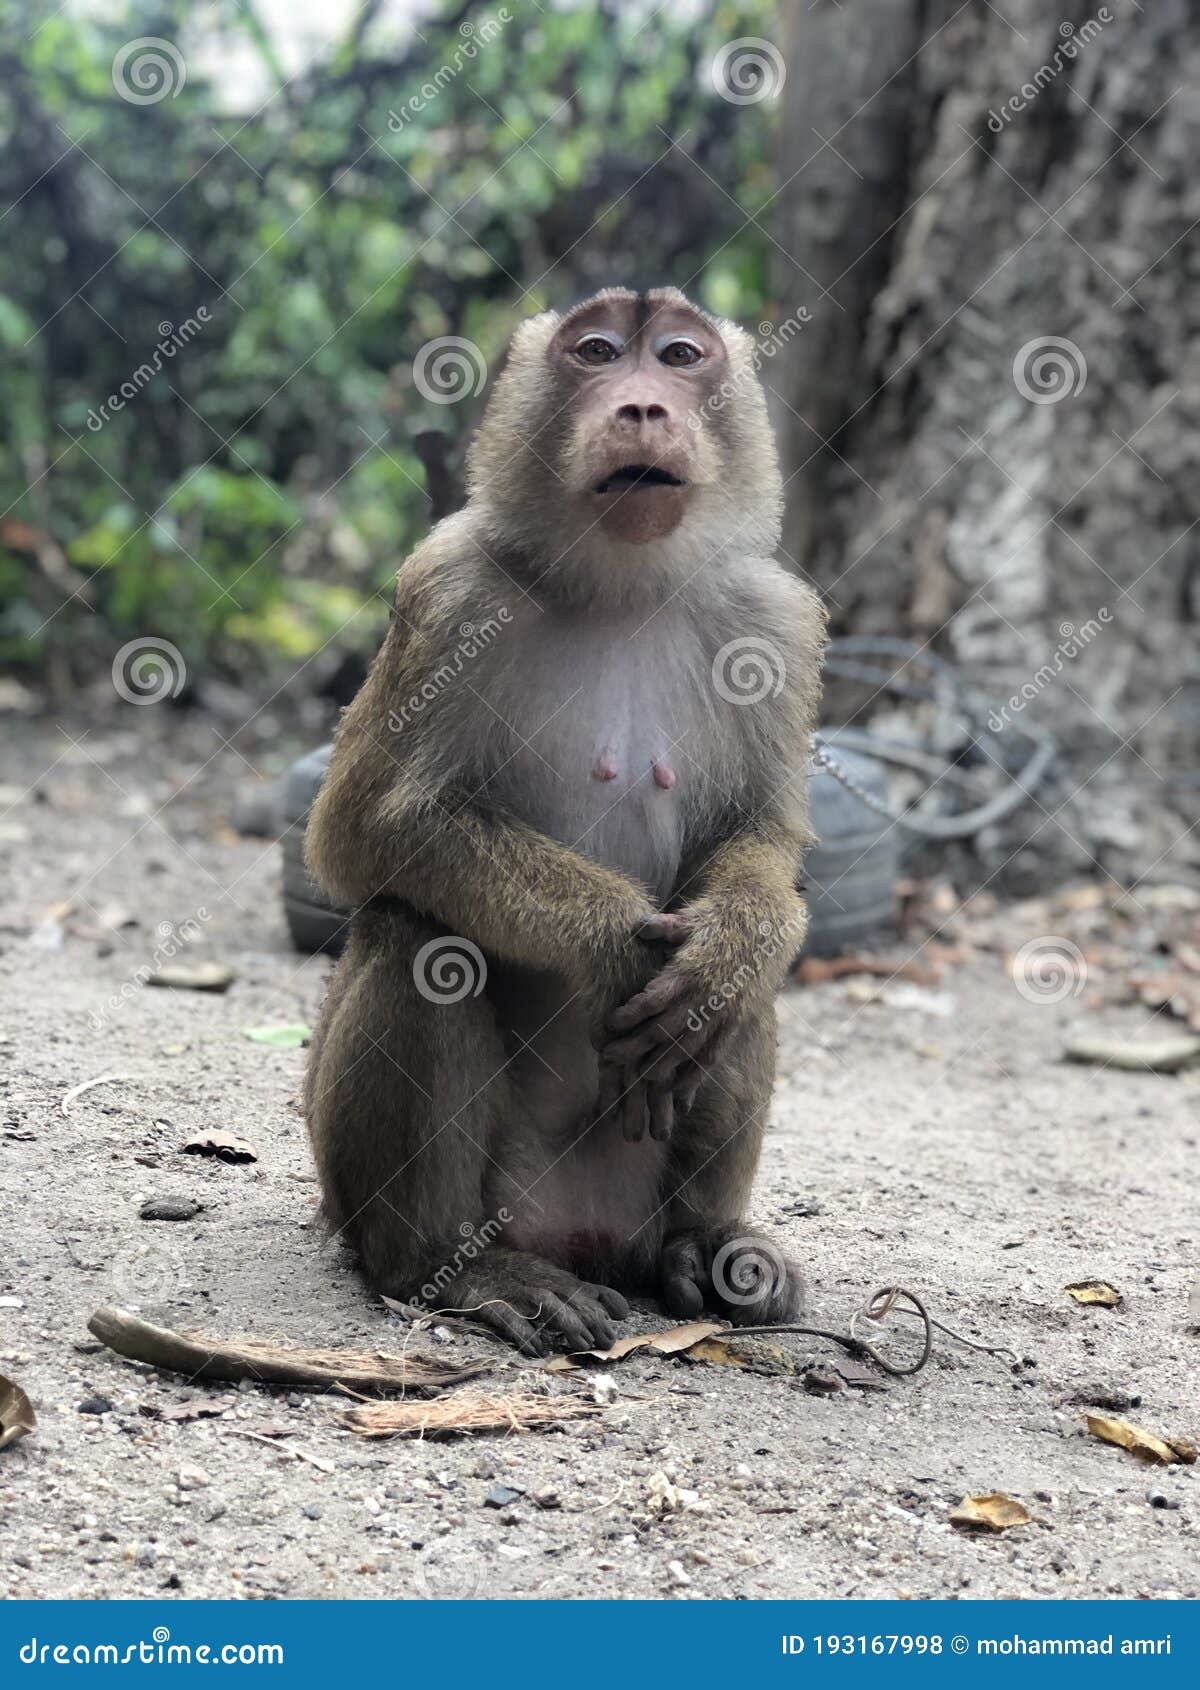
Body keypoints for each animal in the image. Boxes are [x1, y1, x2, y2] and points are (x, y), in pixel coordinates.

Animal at [303, 287, 826, 1357]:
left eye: (679, 357)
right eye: (596, 353)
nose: (641, 405)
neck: (621, 589)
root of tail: (585, 1234)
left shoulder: (775, 622)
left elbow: (760, 841)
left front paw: (730, 946)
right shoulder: (446, 591)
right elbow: (363, 834)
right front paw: (613, 944)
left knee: (744, 994)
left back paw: (706, 1246)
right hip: (417, 1199)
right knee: (417, 936)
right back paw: (451, 1268)